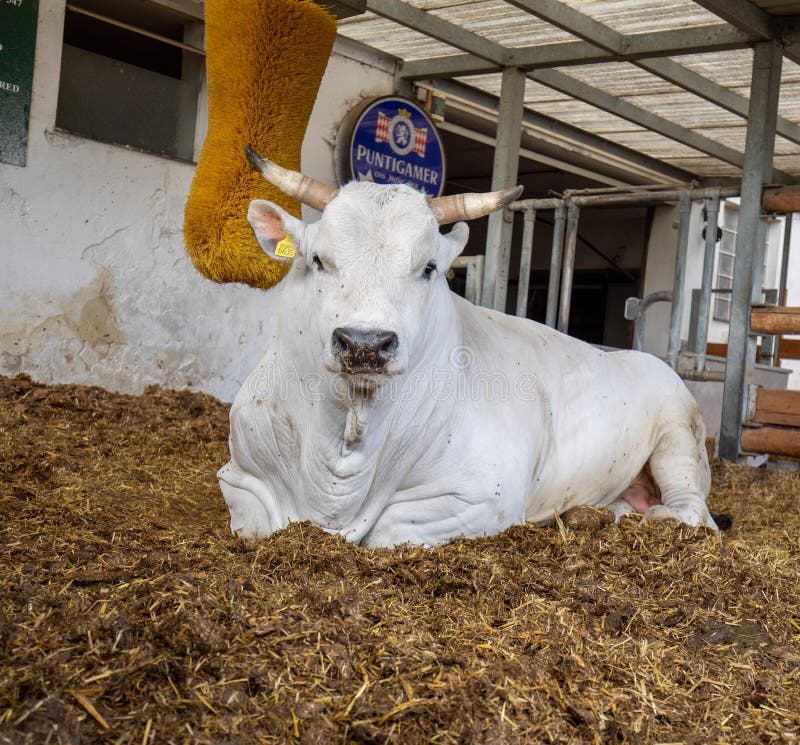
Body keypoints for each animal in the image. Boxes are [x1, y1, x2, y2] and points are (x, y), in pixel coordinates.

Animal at [217, 146, 717, 548]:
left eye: (428, 267)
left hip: (680, 434)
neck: (346, 443)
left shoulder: (483, 495)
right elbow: (256, 521)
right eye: (318, 260)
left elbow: (387, 530)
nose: (364, 343)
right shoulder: (237, 475)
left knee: (695, 512)